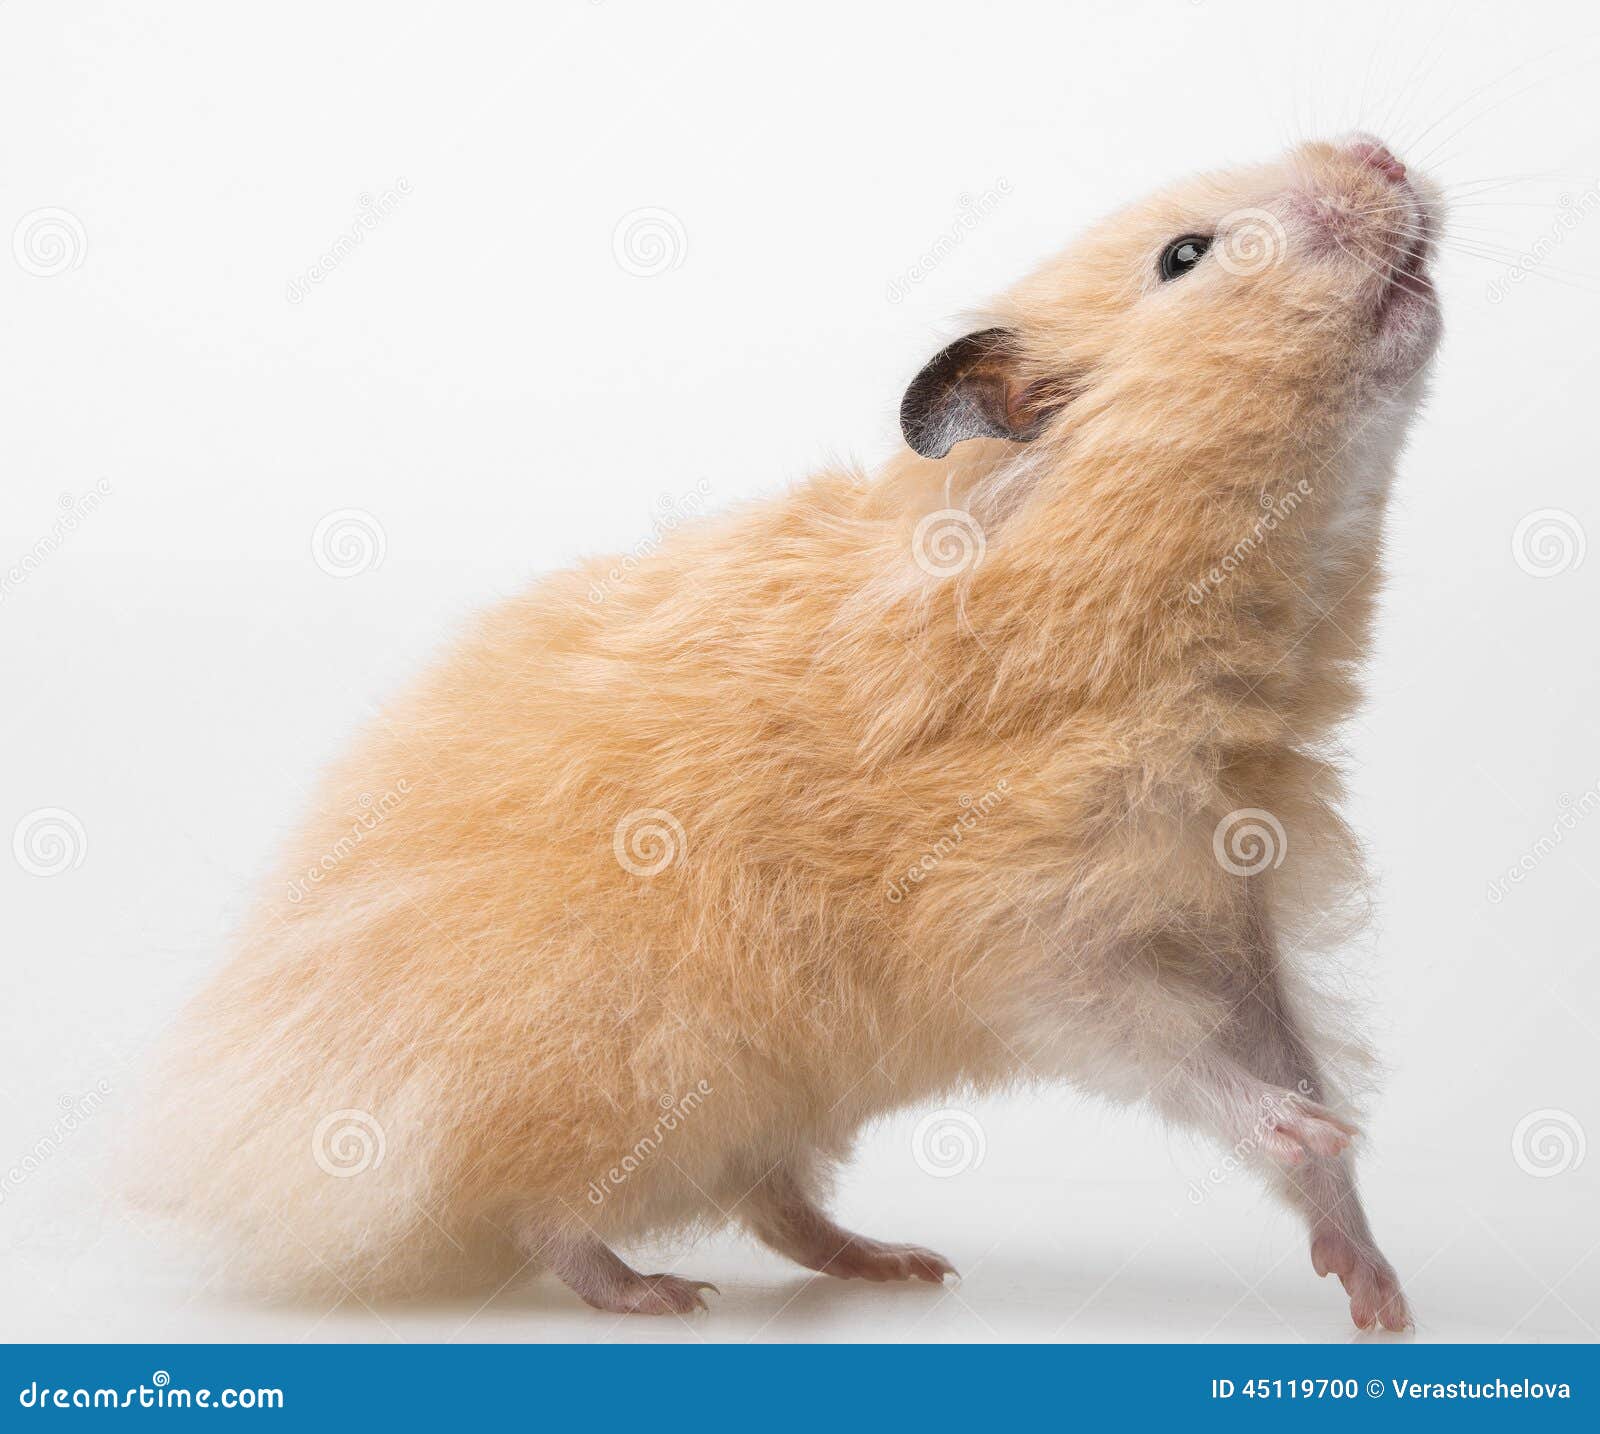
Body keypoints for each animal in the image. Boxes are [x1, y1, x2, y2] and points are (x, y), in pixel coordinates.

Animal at [137, 134, 1440, 1331]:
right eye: (1184, 256)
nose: (1379, 150)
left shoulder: (1228, 907)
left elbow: (1272, 1047)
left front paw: (1376, 1290)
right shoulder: (1021, 931)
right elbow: (1170, 1056)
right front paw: (1314, 1128)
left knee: (768, 1199)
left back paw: (891, 1262)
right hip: (632, 1068)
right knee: (545, 1213)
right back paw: (658, 1292)